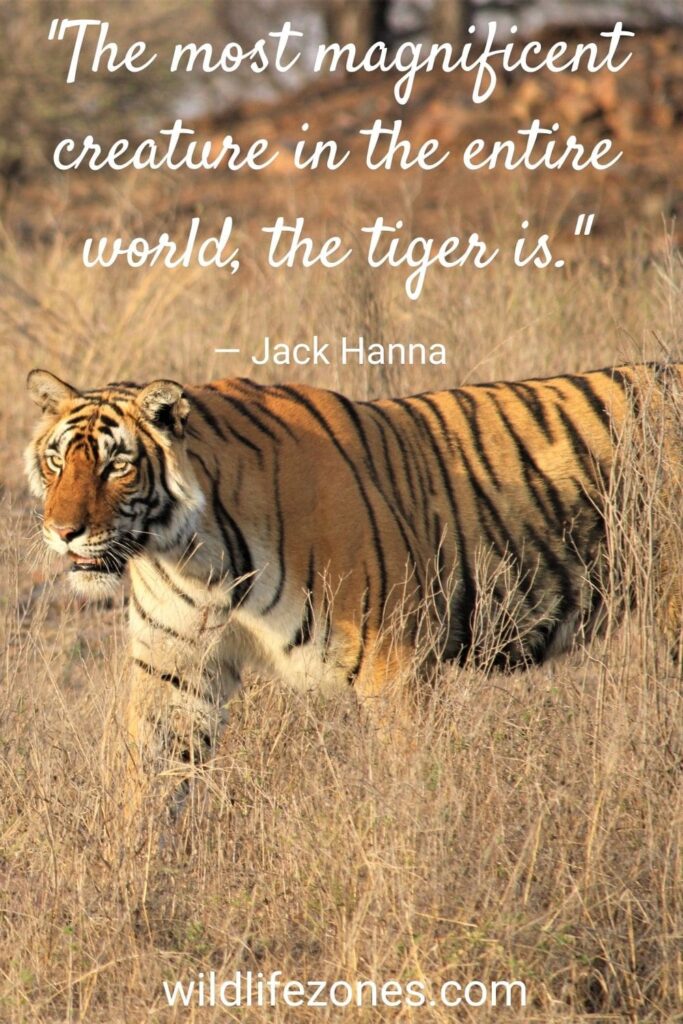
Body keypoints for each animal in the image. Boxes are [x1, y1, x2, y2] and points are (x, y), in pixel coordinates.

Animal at [25, 363, 682, 816]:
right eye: (58, 461)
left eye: (116, 465)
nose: (62, 531)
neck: (193, 554)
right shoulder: (176, 671)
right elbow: (148, 792)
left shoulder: (398, 668)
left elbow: (410, 790)